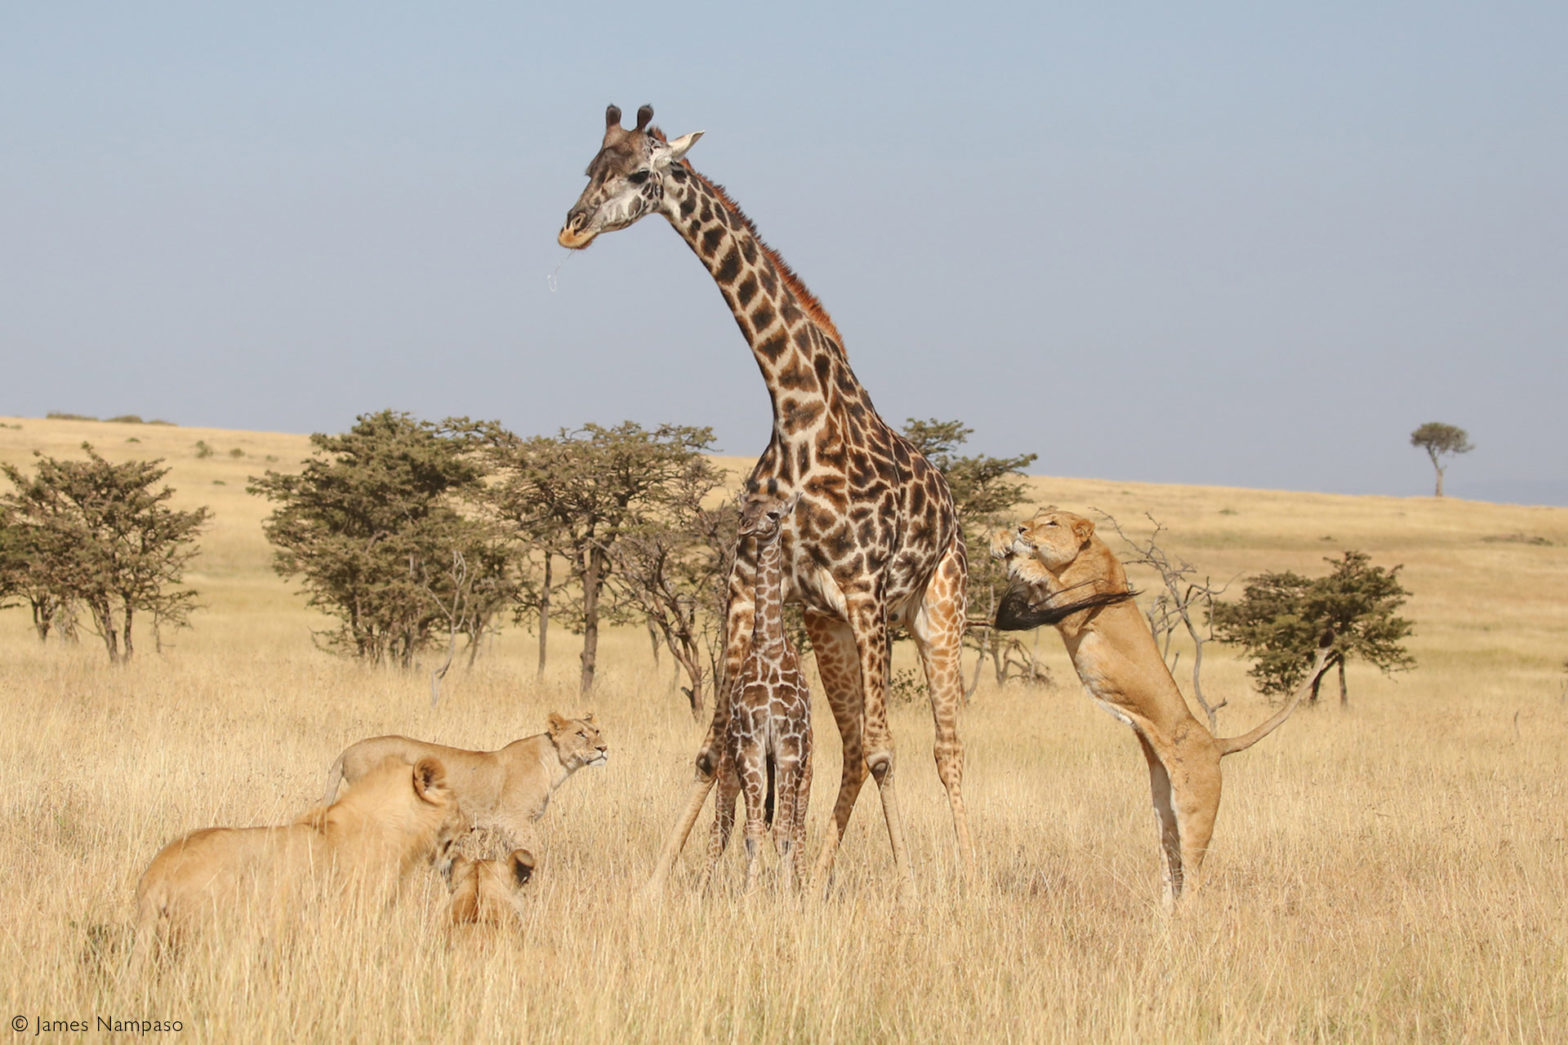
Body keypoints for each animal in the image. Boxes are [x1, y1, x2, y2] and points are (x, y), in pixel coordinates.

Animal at [322, 713, 607, 856]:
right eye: (580, 734)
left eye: (596, 731)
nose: (604, 748)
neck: (555, 764)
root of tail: (348, 751)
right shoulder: (515, 822)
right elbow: (533, 852)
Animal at [698, 482, 812, 893]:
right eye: (743, 510)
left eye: (774, 514)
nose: (746, 528)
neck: (769, 648)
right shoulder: (749, 745)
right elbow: (751, 833)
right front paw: (750, 894)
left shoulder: (789, 748)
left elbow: (783, 833)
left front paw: (786, 894)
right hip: (731, 771)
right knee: (721, 827)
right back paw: (702, 888)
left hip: (806, 769)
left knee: (798, 827)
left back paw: (803, 885)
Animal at [991, 508, 1330, 902]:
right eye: (1036, 516)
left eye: (1051, 523)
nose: (1021, 527)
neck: (1084, 556)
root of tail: (1214, 743)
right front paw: (1001, 540)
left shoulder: (1075, 613)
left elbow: (1046, 579)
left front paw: (1024, 560)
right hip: (1164, 812)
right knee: (1173, 864)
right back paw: (1163, 911)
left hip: (1196, 811)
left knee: (1195, 874)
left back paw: (1183, 914)